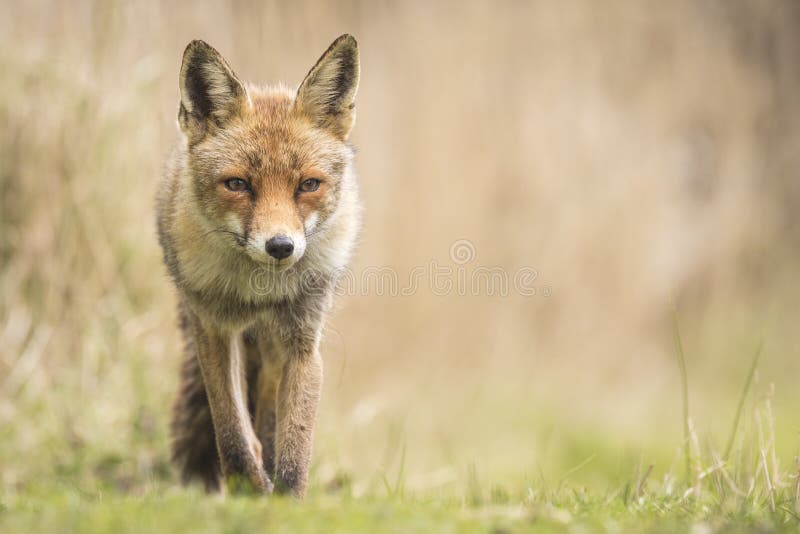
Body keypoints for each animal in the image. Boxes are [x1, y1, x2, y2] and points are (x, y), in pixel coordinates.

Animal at [156, 35, 360, 497]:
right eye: (238, 184)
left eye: (308, 185)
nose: (280, 246)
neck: (257, 292)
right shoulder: (213, 328)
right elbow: (231, 430)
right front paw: (247, 486)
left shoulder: (303, 340)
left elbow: (295, 440)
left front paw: (286, 498)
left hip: (274, 347)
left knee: (268, 411)